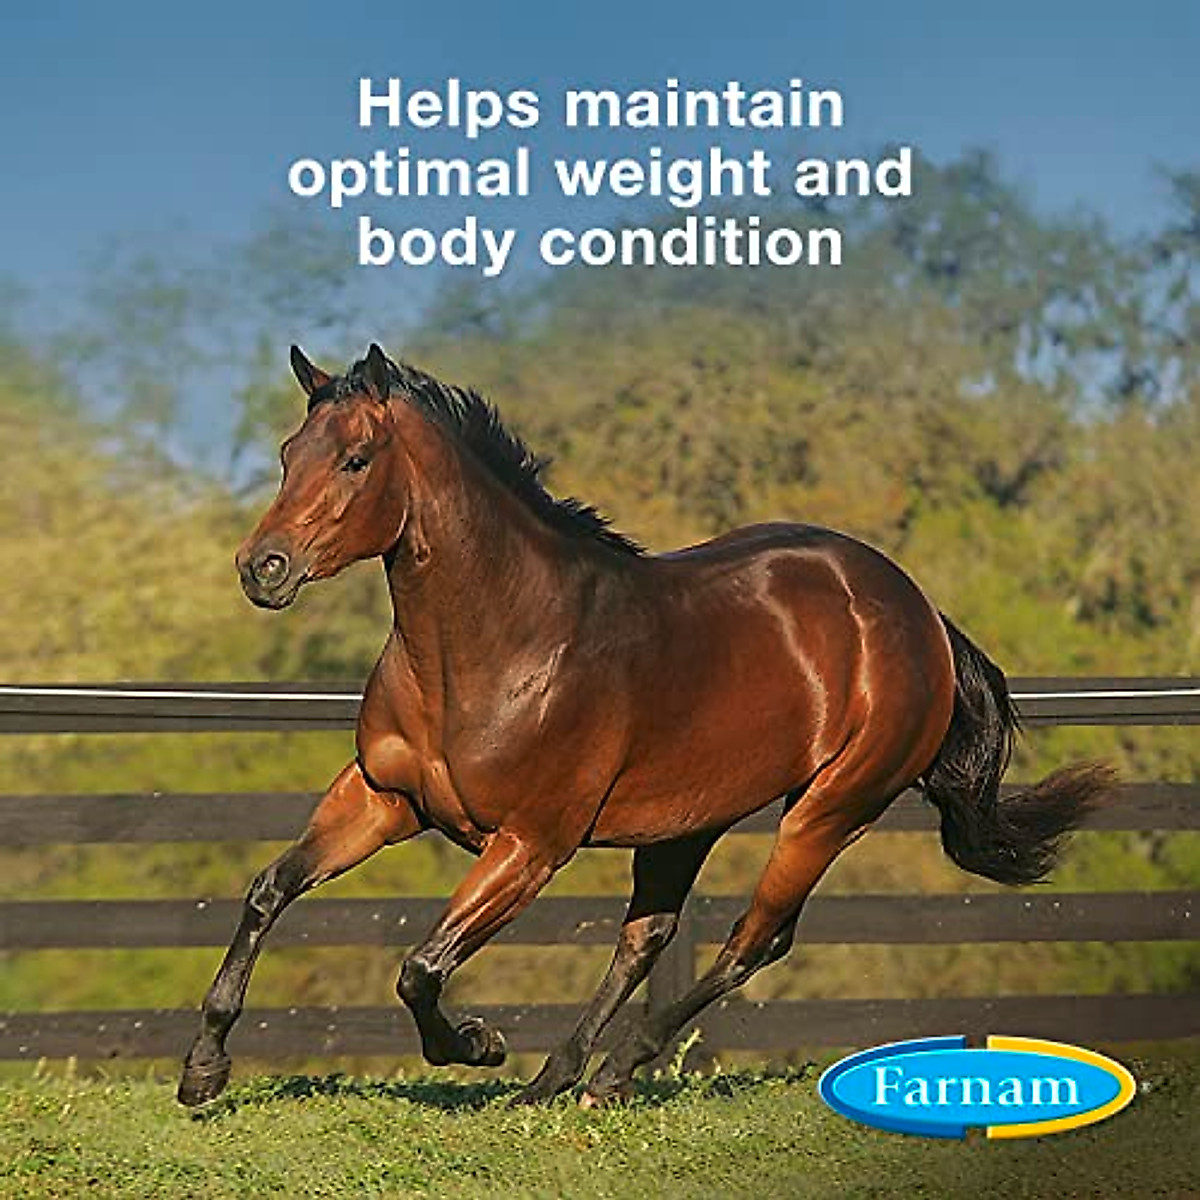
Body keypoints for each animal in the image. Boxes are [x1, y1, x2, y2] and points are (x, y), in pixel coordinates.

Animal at [178, 343, 1111, 1107]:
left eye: (356, 459)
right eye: (288, 455)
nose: (262, 569)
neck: (499, 642)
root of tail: (917, 612)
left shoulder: (530, 844)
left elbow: (420, 969)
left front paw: (477, 1045)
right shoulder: (383, 798)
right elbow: (269, 890)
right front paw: (203, 1072)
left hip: (831, 808)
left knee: (755, 938)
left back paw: (610, 1074)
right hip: (686, 822)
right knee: (649, 938)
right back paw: (556, 1081)